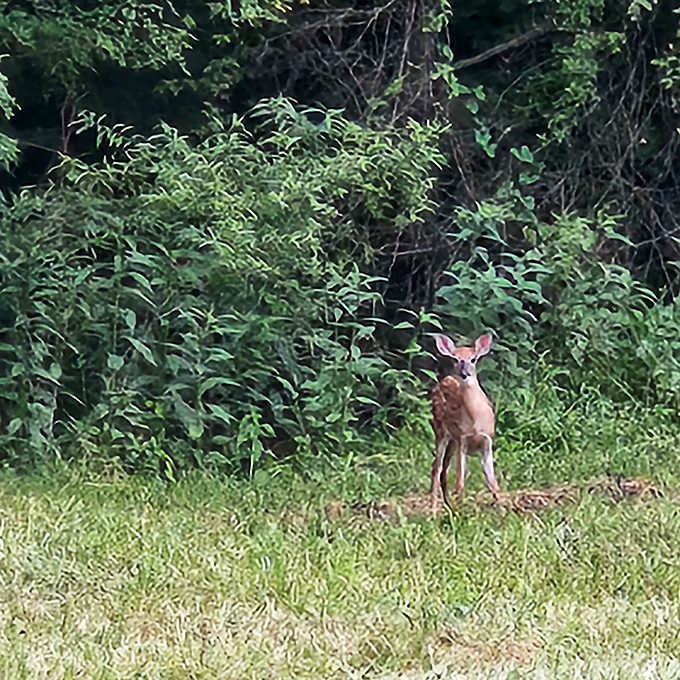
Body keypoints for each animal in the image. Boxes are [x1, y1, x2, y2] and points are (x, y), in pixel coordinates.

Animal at [430, 333, 501, 510]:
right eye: (455, 359)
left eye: (473, 359)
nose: (464, 373)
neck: (476, 420)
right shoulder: (462, 439)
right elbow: (460, 484)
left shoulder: (487, 440)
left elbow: (493, 483)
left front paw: (503, 507)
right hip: (440, 431)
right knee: (436, 467)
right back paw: (434, 508)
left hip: (452, 440)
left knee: (443, 470)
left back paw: (447, 505)